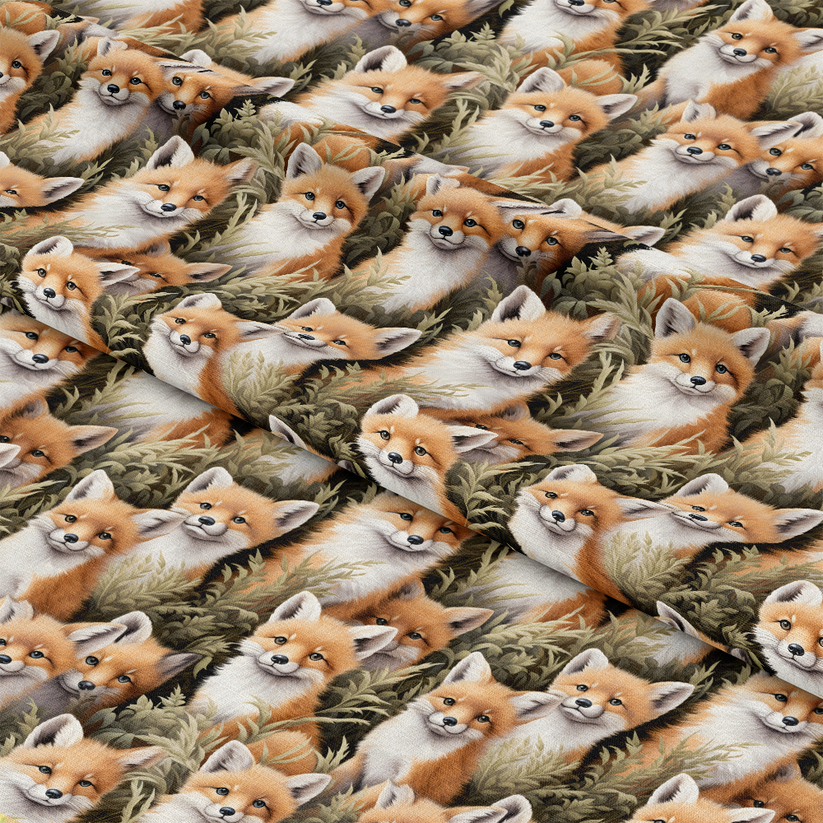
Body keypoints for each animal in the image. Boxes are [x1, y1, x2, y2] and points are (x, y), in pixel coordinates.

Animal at [187, 591, 397, 744]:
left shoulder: (245, 722)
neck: (244, 693)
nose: (279, 659)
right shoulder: (201, 709)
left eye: (316, 656)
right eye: (280, 640)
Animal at [330, 651, 559, 804]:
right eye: (449, 701)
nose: (450, 721)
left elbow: (350, 802)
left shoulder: (407, 780)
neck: (407, 747)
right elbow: (332, 784)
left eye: (482, 718)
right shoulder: (364, 758)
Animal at [636, 0, 823, 121]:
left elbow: (656, 118)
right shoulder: (665, 82)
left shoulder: (707, 99)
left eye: (770, 50)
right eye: (737, 36)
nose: (739, 52)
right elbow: (638, 101)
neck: (703, 72)